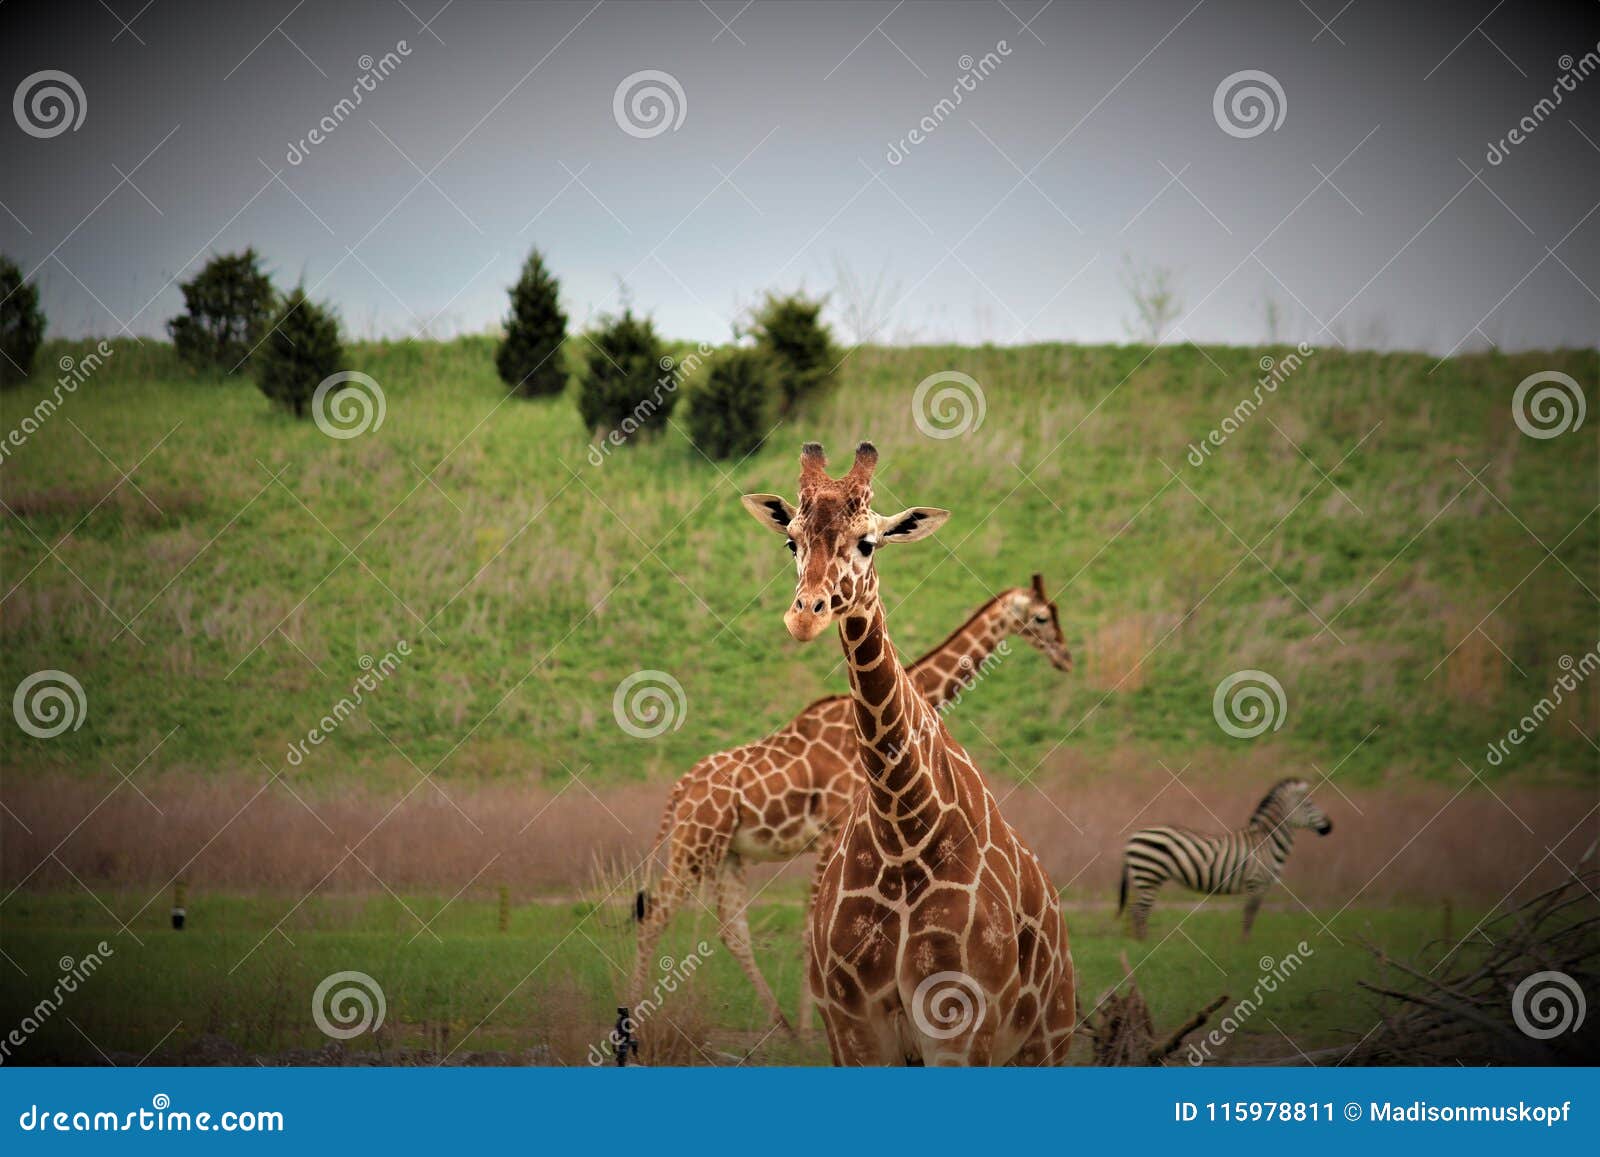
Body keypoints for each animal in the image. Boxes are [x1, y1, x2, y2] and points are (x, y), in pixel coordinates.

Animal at [625, 577, 1072, 1045]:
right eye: (1043, 616)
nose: (1065, 657)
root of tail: (679, 790)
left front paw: (811, 1024)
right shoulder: (837, 830)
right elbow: (812, 926)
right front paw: (819, 1025)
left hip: (727, 853)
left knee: (731, 929)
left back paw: (781, 1025)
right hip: (694, 845)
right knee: (655, 916)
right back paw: (634, 1022)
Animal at [741, 441, 1077, 1066]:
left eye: (868, 541)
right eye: (791, 540)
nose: (805, 616)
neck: (903, 831)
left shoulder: (959, 1022)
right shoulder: (856, 1024)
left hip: (1046, 1040)